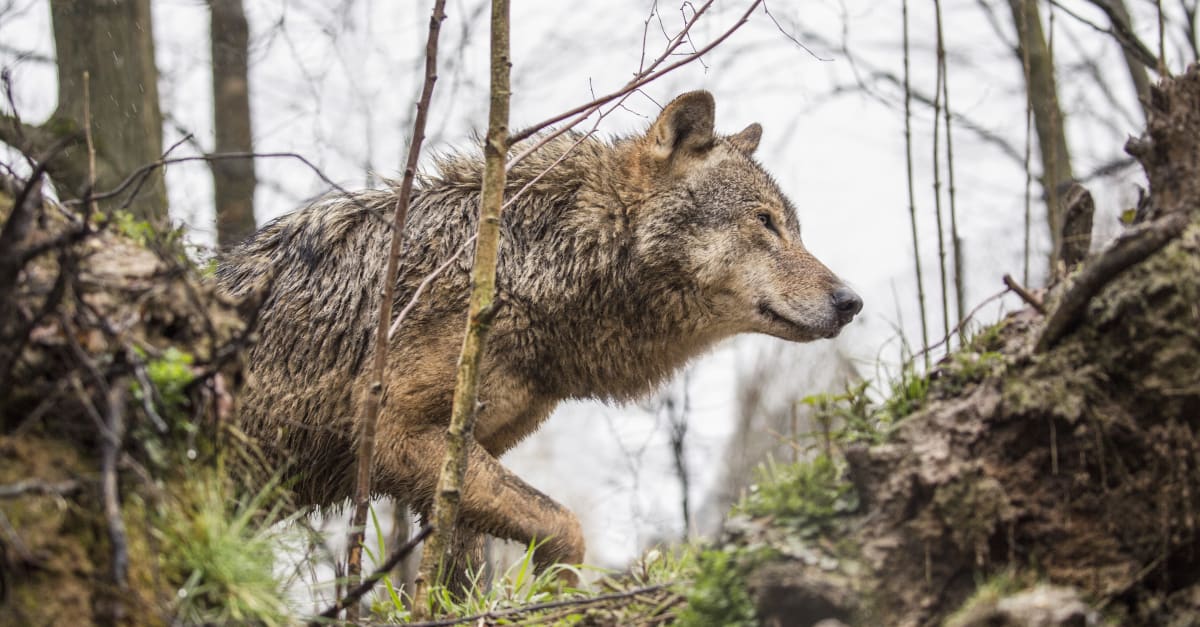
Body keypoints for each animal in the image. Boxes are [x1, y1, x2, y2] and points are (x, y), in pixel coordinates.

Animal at [218, 91, 862, 574]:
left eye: (794, 227)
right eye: (764, 222)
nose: (852, 302)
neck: (529, 263)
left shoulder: (459, 464)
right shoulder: (400, 436)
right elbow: (566, 526)